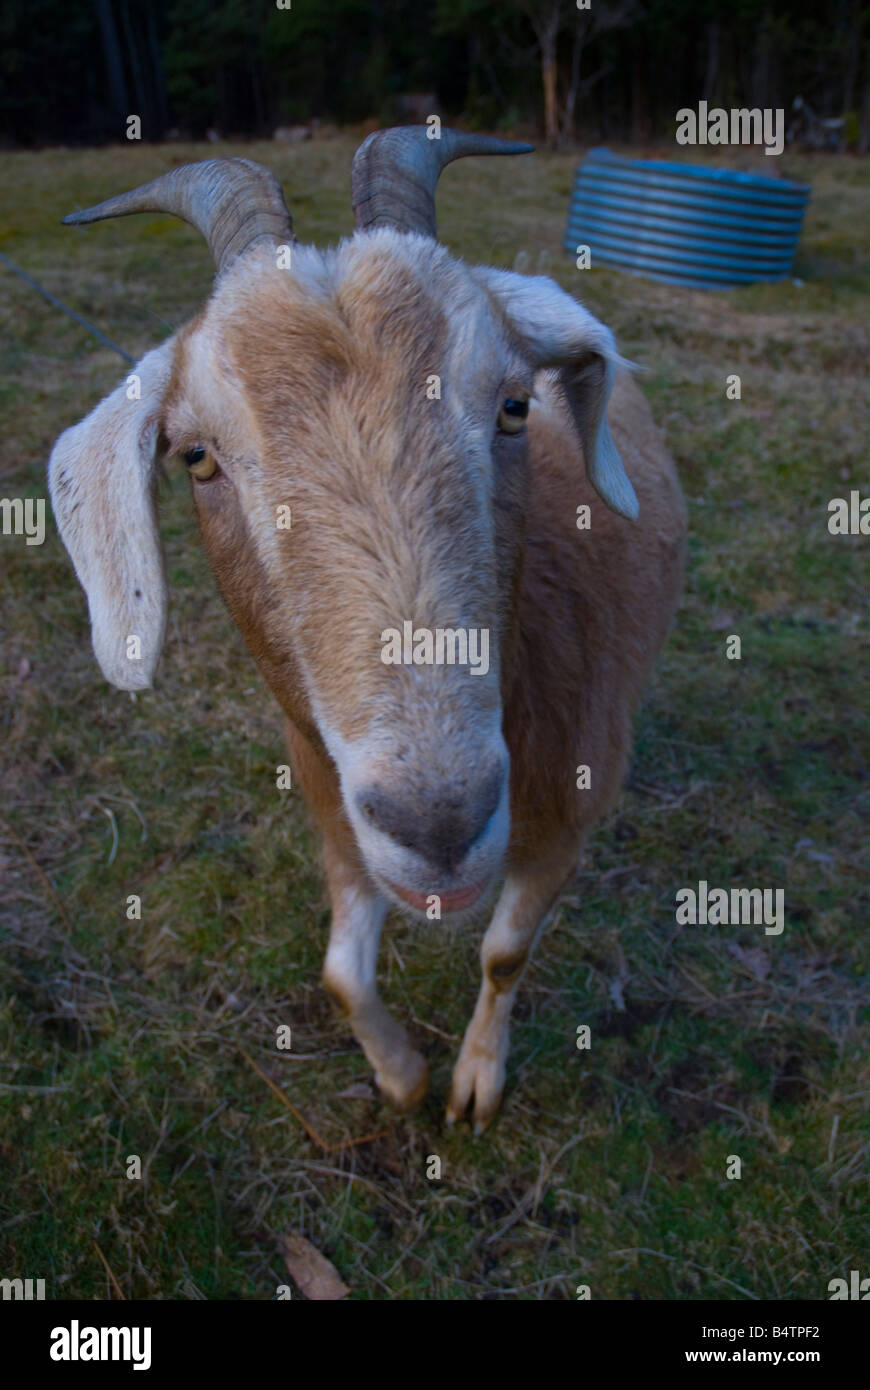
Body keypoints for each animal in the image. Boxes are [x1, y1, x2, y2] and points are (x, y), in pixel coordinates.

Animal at [48, 128, 686, 1132]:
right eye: (197, 456)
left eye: (513, 405)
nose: (440, 820)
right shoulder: (339, 827)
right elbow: (340, 974)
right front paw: (401, 1077)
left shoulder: (562, 825)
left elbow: (504, 953)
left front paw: (473, 1087)